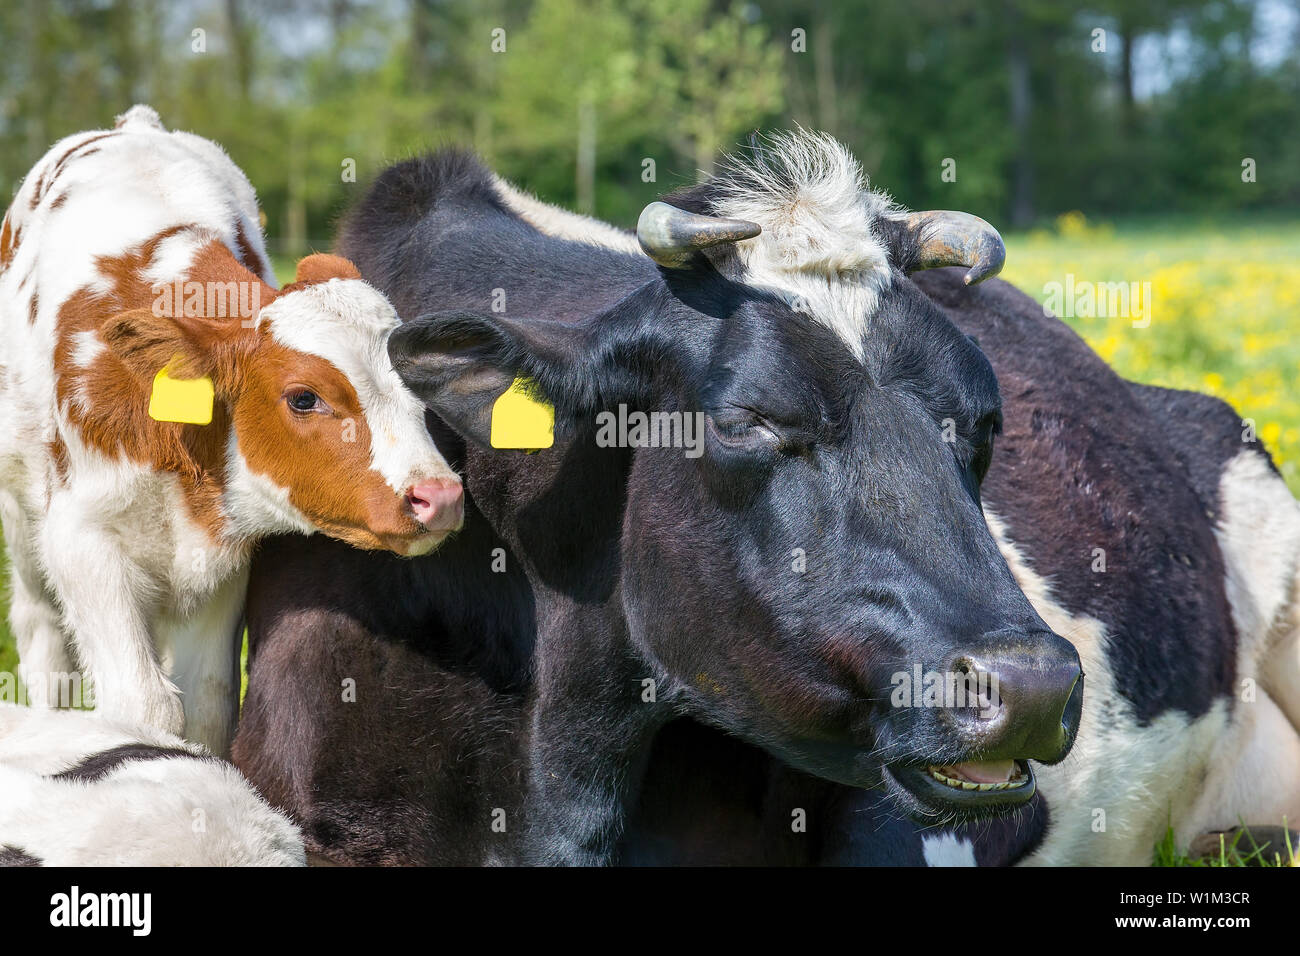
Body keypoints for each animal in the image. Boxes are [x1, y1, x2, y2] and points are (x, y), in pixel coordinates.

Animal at [0, 106, 464, 756]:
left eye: (417, 383)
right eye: (303, 397)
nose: (438, 496)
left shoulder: (224, 562)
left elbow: (208, 703)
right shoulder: (81, 542)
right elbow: (143, 705)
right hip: (22, 522)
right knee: (42, 635)